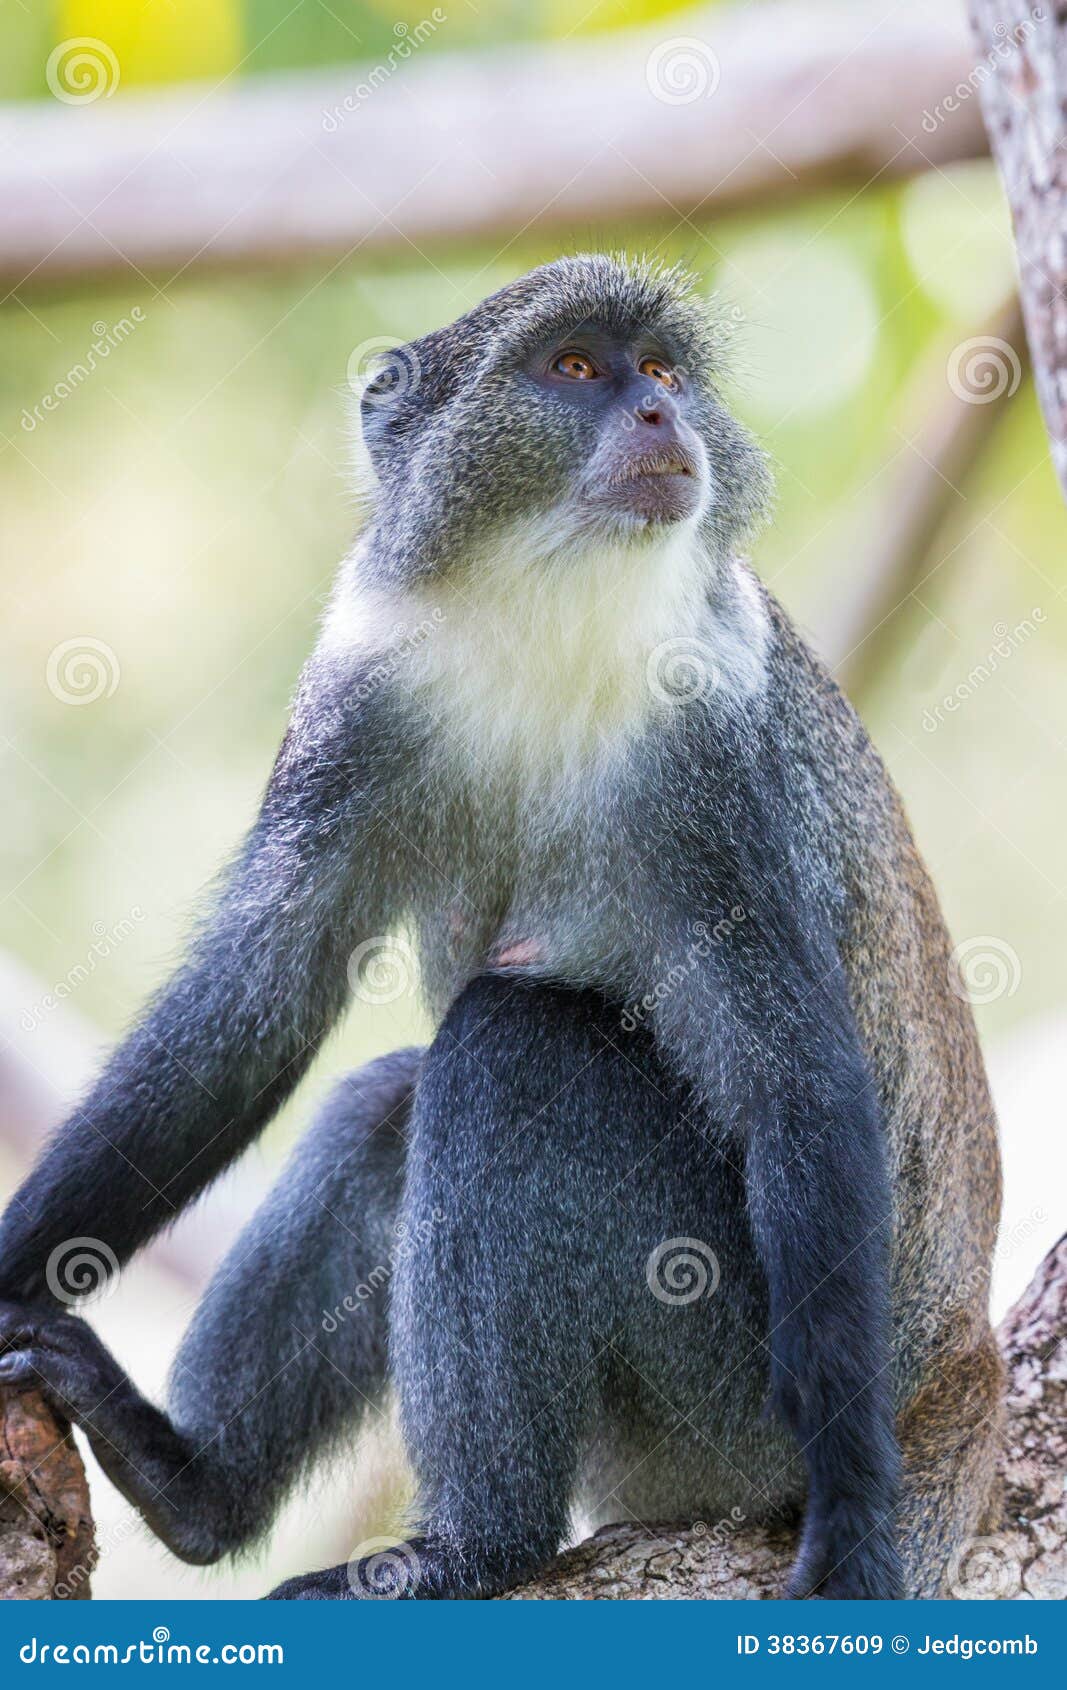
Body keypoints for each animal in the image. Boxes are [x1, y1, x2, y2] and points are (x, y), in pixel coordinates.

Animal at [0, 255, 1003, 1602]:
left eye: (662, 369)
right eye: (574, 367)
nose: (657, 412)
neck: (549, 607)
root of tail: (959, 1375)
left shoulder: (710, 752)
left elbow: (792, 1076)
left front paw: (851, 1523)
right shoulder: (360, 697)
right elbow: (258, 999)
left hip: (730, 1407)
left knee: (511, 1046)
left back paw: (474, 1546)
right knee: (389, 1100)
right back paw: (192, 1491)